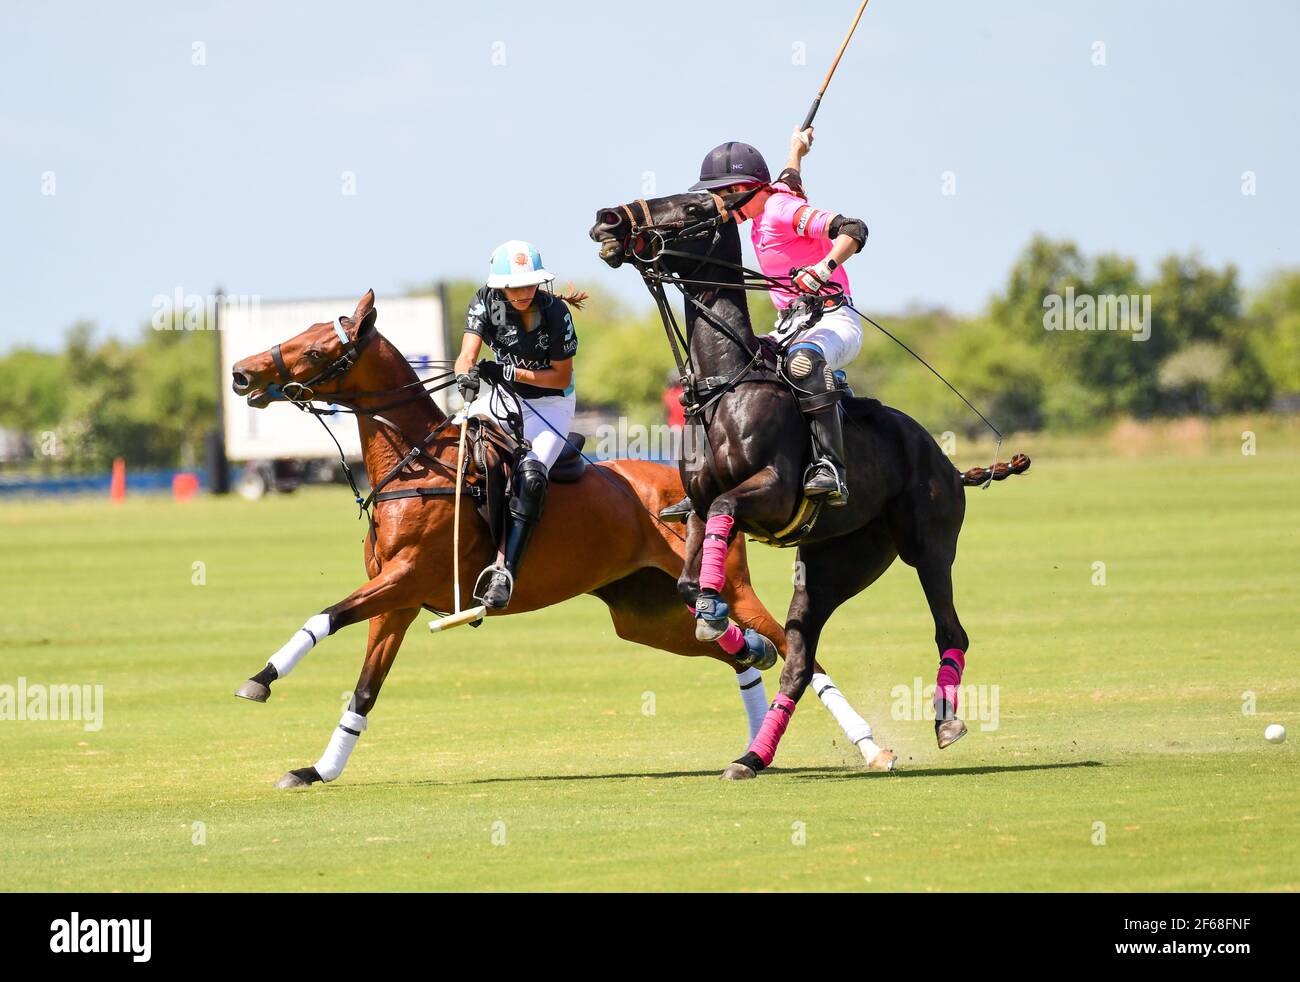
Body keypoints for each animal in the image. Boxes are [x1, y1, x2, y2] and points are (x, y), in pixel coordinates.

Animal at [228, 290, 896, 788]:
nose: (240, 372)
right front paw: (317, 769)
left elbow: (325, 615)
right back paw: (754, 732)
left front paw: (259, 680)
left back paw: (870, 748)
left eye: (317, 346)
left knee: (793, 649)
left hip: (725, 585)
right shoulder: (398, 599)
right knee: (742, 651)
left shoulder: (407, 578)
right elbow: (365, 687)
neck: (417, 464)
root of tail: (699, 485)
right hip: (648, 612)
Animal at [590, 194, 1029, 779]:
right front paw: (733, 634)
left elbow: (729, 508)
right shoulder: (701, 506)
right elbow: (688, 583)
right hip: (831, 565)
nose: (607, 220)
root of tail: (948, 462)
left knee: (950, 630)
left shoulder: (772, 492)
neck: (725, 387)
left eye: (691, 206)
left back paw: (947, 722)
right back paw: (752, 756)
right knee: (799, 660)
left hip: (929, 545)